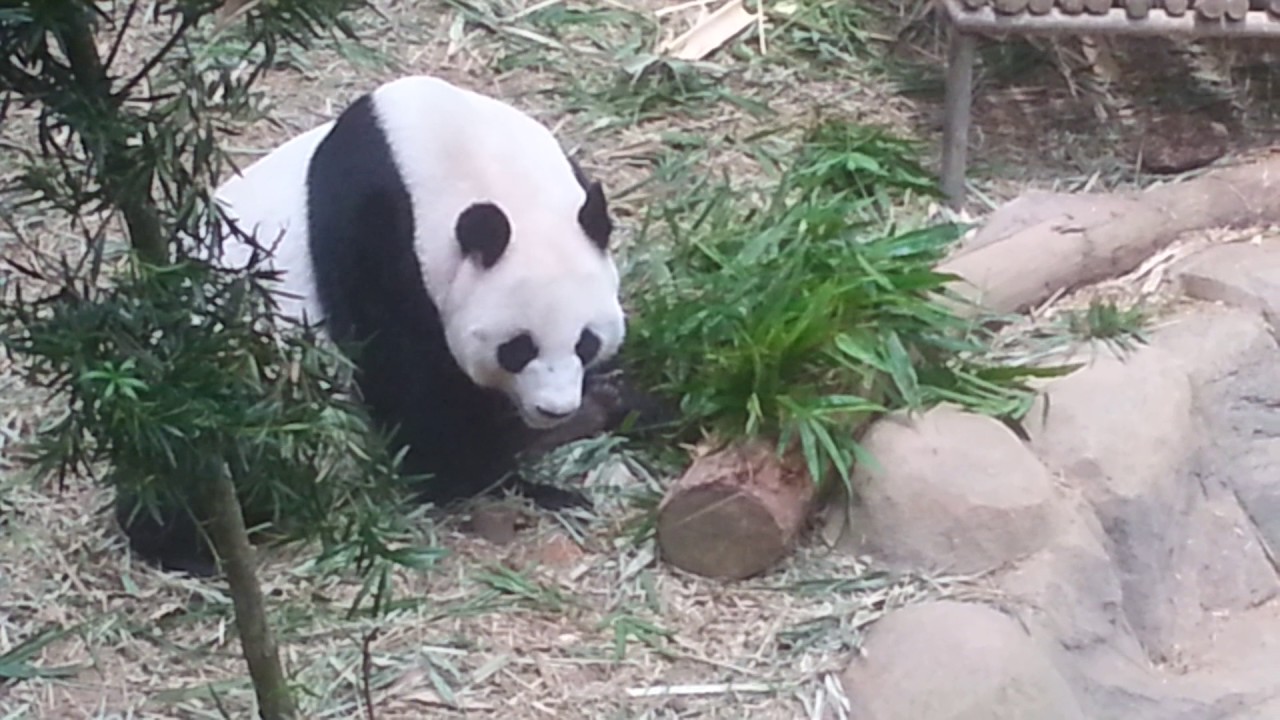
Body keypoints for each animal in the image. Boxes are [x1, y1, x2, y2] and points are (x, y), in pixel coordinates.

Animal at [116, 75, 631, 576]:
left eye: (585, 343)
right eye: (518, 348)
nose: (554, 409)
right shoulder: (378, 239)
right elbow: (410, 385)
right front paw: (507, 481)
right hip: (220, 386)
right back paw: (188, 545)